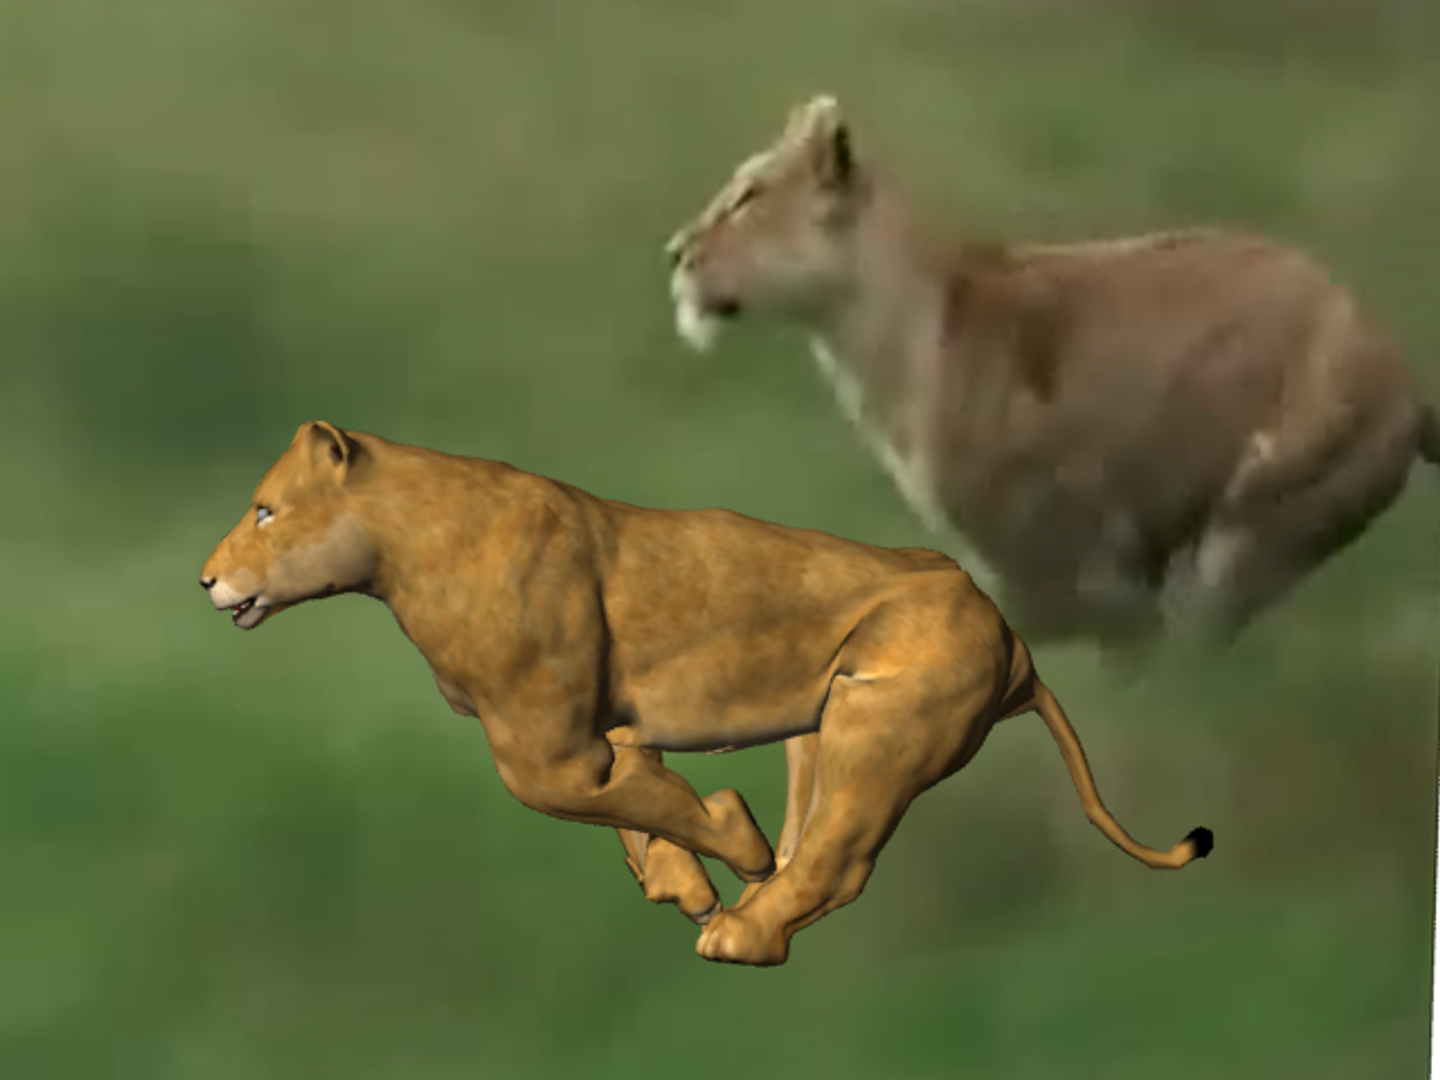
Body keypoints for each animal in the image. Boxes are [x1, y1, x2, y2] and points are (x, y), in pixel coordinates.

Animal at [199, 421, 1212, 967]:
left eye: (264, 509)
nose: (205, 580)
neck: (398, 551)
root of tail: (1014, 639)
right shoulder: (596, 724)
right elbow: (632, 804)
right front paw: (685, 880)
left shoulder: (542, 741)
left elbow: (609, 798)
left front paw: (726, 840)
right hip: (824, 724)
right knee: (822, 850)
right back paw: (748, 907)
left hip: (879, 722)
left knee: (838, 858)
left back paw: (742, 931)